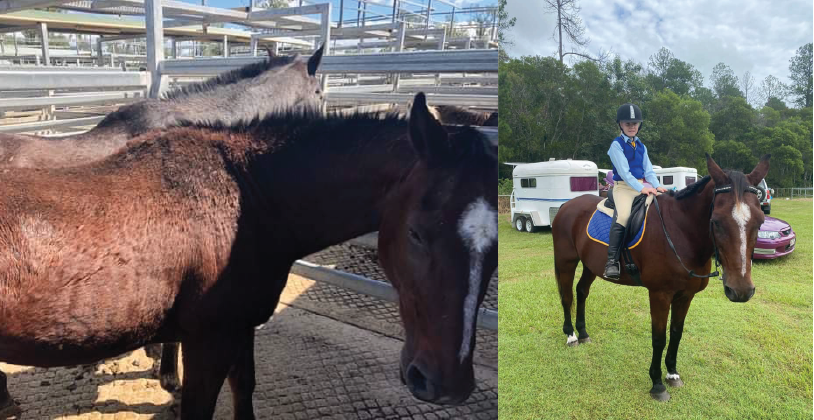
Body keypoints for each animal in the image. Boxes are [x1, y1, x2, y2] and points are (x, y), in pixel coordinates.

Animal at [0, 92, 496, 418]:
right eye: (415, 232)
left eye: (495, 251)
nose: (445, 384)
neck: (247, 195)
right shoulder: (209, 341)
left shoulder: (239, 328)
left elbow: (244, 388)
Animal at [551, 154, 769, 402]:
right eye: (716, 221)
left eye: (760, 221)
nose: (741, 290)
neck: (681, 232)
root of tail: (567, 205)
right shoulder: (660, 295)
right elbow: (659, 338)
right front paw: (657, 384)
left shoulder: (685, 296)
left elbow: (676, 333)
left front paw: (672, 374)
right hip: (566, 261)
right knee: (567, 296)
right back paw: (571, 335)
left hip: (591, 265)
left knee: (581, 291)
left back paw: (583, 332)